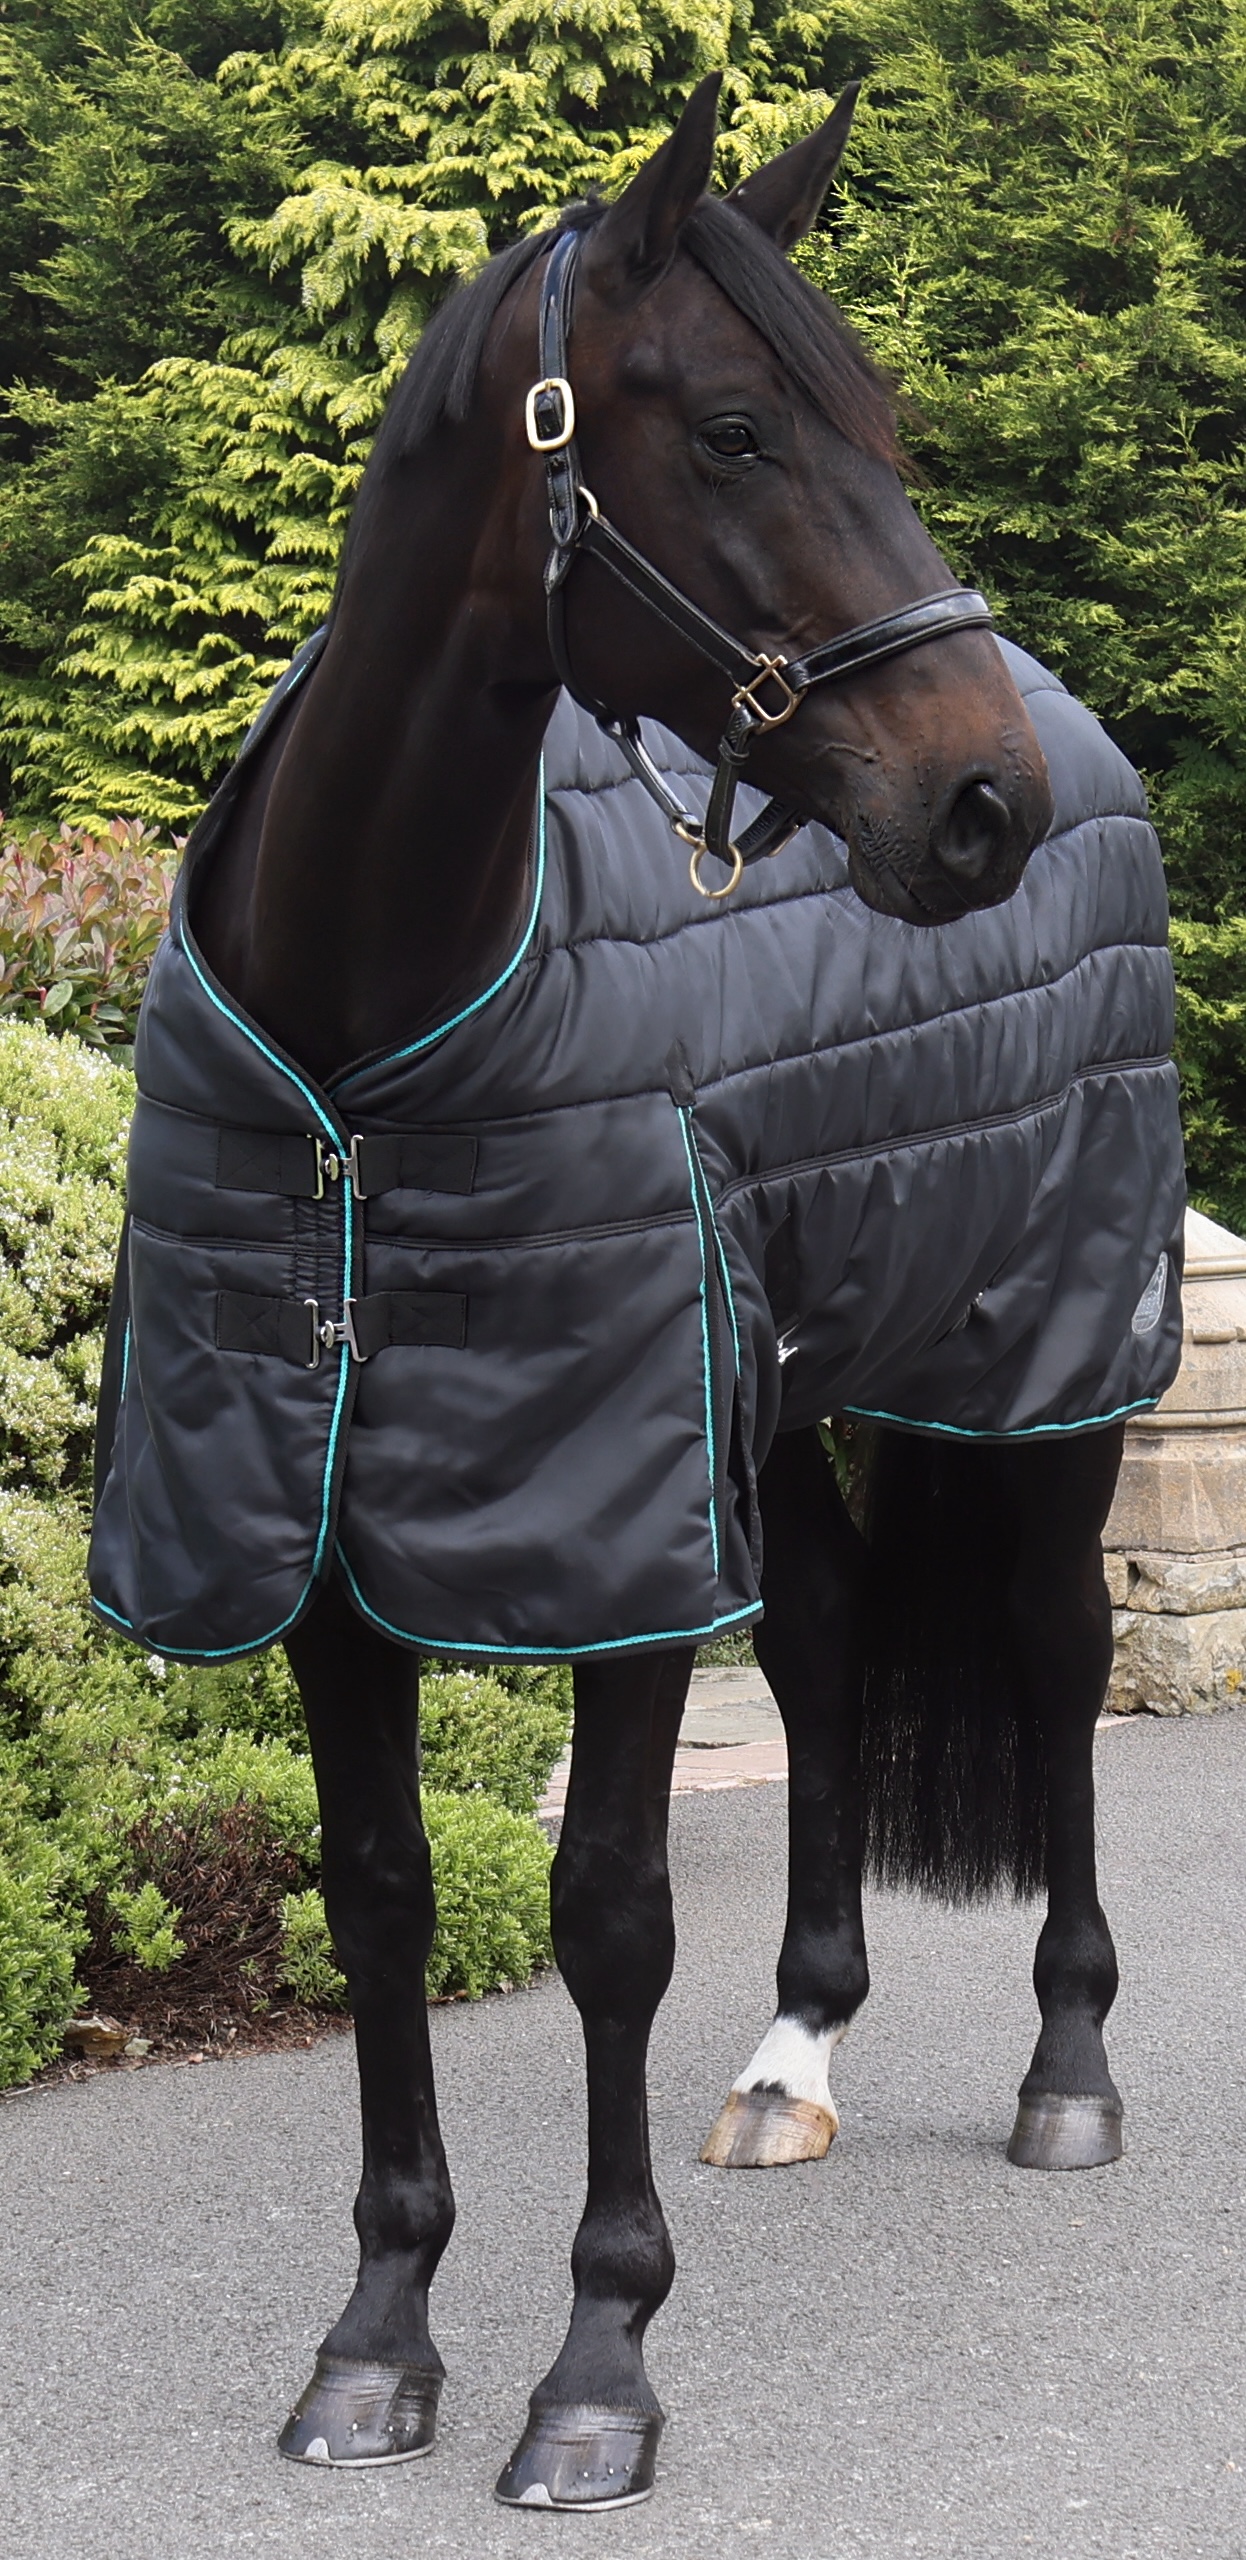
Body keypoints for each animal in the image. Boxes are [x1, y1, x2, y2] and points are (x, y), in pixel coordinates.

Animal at [87, 72, 1182, 2514]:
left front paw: (596, 2367)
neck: (368, 1029)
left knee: (1057, 1651)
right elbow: (379, 1886)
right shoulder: (330, 1525)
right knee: (840, 1633)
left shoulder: (599, 1529)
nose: (971, 803)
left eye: (878, 416)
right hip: (767, 1387)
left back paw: (1068, 2070)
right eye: (742, 426)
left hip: (1043, 1363)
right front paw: (377, 2336)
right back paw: (793, 2049)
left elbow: (604, 1912)